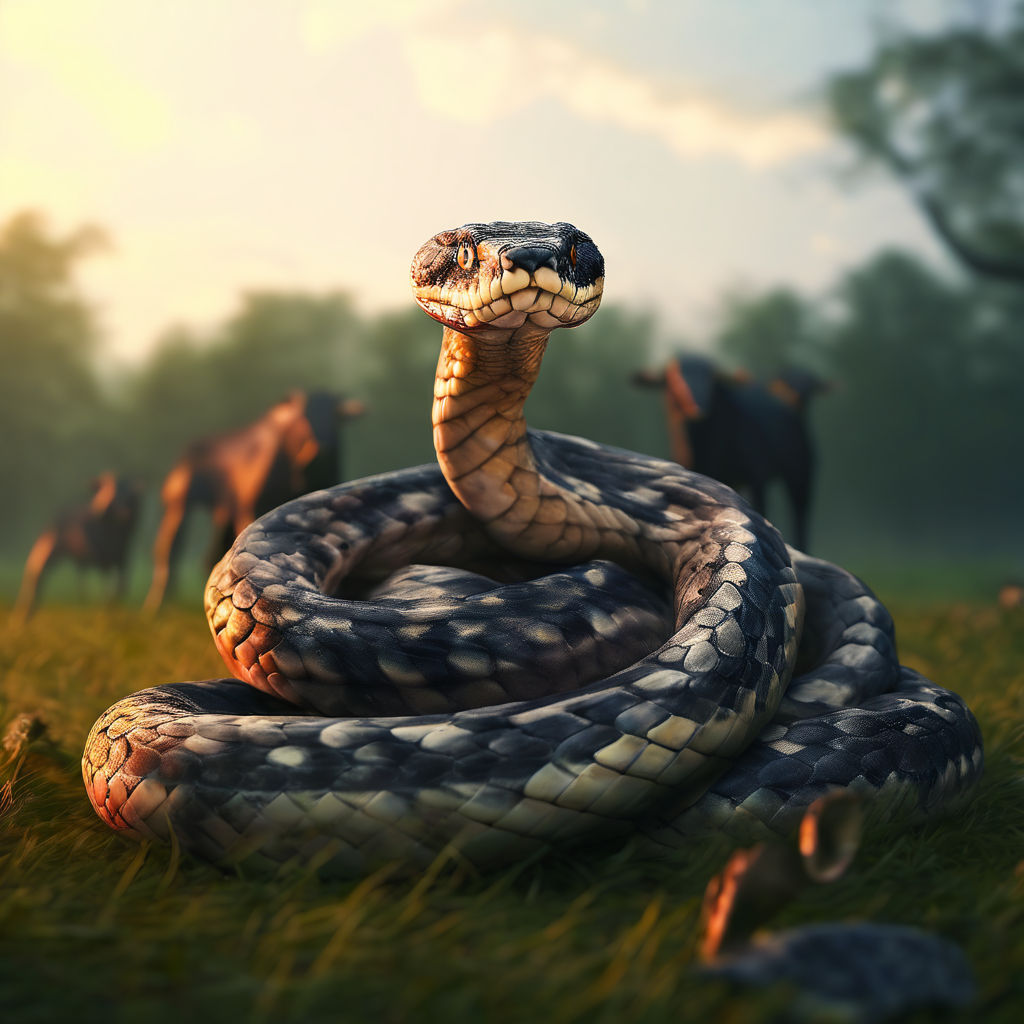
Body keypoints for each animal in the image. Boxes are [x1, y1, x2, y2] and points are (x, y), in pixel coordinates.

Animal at [14, 472, 143, 622]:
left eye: (127, 493)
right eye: (105, 488)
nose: (101, 507)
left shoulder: (122, 556)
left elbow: (122, 584)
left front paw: (111, 606)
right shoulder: (102, 558)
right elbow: (108, 585)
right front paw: (106, 608)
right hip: (49, 546)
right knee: (36, 570)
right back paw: (25, 612)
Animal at [144, 390, 365, 610]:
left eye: (334, 420)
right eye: (301, 418)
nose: (317, 453)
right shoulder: (252, 509)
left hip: (223, 511)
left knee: (210, 553)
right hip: (178, 504)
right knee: (168, 549)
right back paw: (157, 606)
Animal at [633, 355, 828, 551]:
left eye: (711, 380)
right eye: (672, 379)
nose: (696, 407)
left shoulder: (757, 478)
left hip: (799, 475)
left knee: (799, 515)